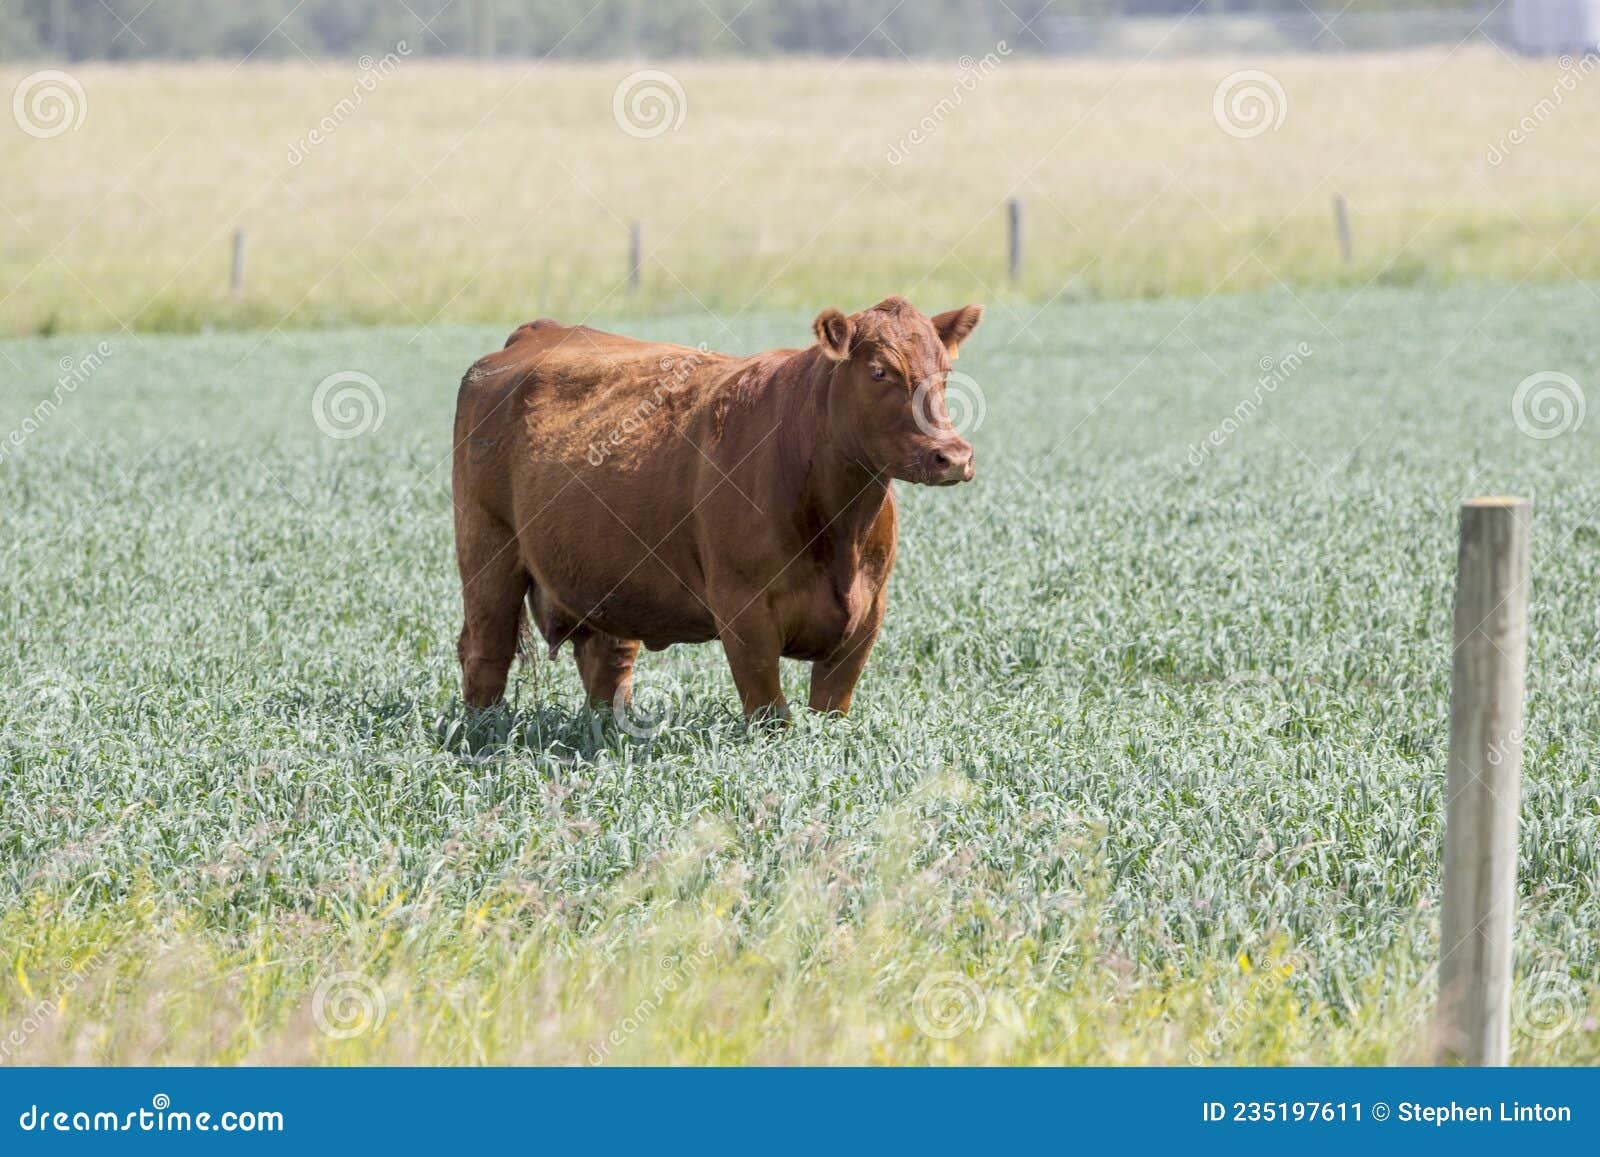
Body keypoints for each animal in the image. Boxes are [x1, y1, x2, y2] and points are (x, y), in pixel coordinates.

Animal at [451, 295, 982, 722]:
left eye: (945, 374)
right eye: (879, 372)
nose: (953, 456)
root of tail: (538, 331)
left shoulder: (866, 617)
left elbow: (830, 711)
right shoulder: (744, 612)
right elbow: (770, 715)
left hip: (606, 574)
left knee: (607, 660)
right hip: (486, 548)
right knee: (484, 652)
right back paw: (483, 731)